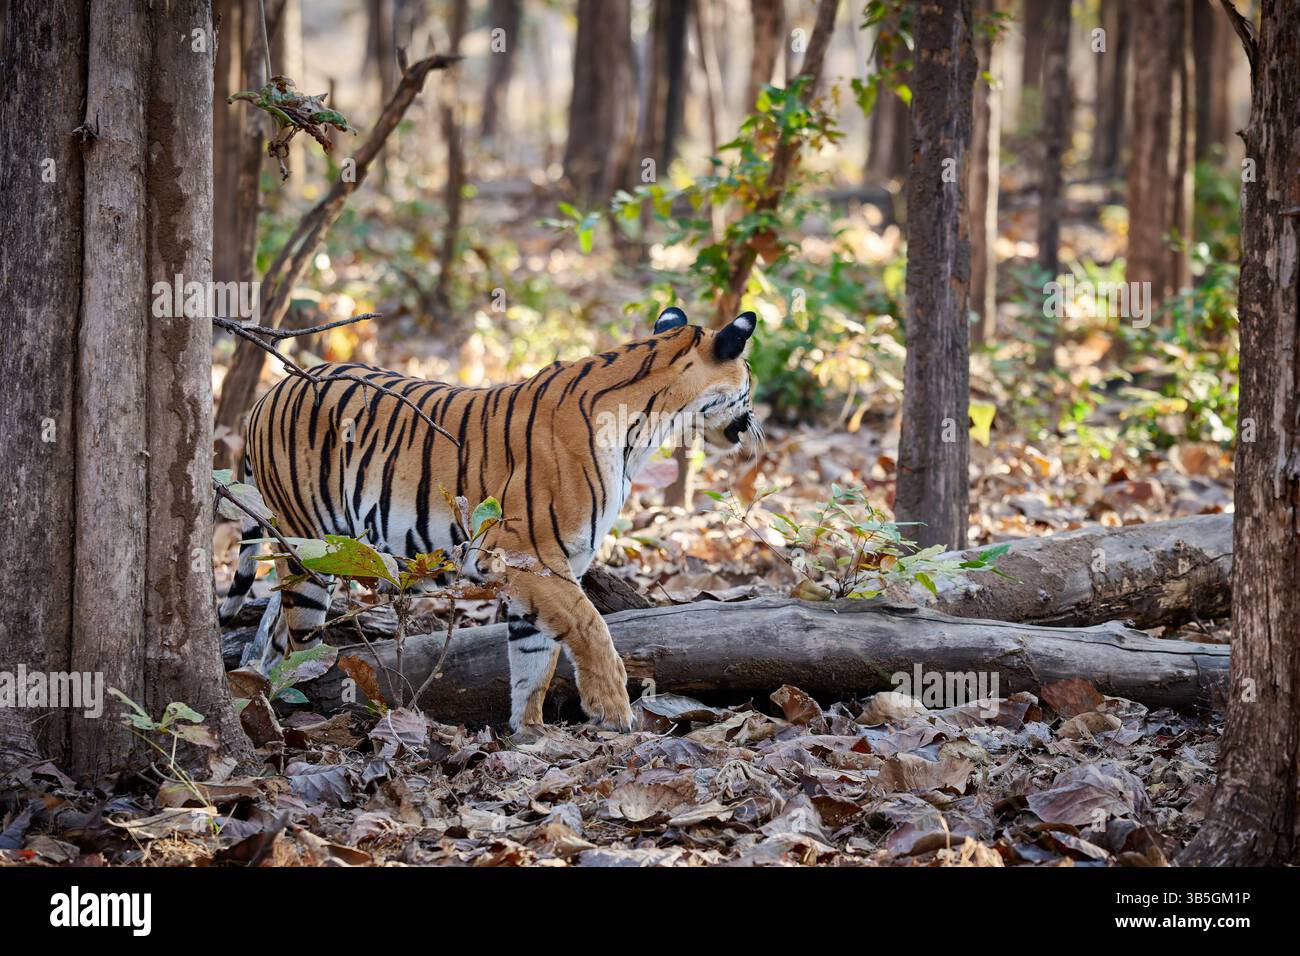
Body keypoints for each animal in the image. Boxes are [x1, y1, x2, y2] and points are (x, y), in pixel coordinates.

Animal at [218, 307, 760, 731]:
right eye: (750, 380)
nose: (756, 422)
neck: (648, 424)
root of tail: (269, 393)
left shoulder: (541, 568)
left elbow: (534, 660)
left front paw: (531, 736)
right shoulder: (528, 555)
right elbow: (591, 628)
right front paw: (615, 715)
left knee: (272, 634)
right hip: (308, 546)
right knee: (300, 645)